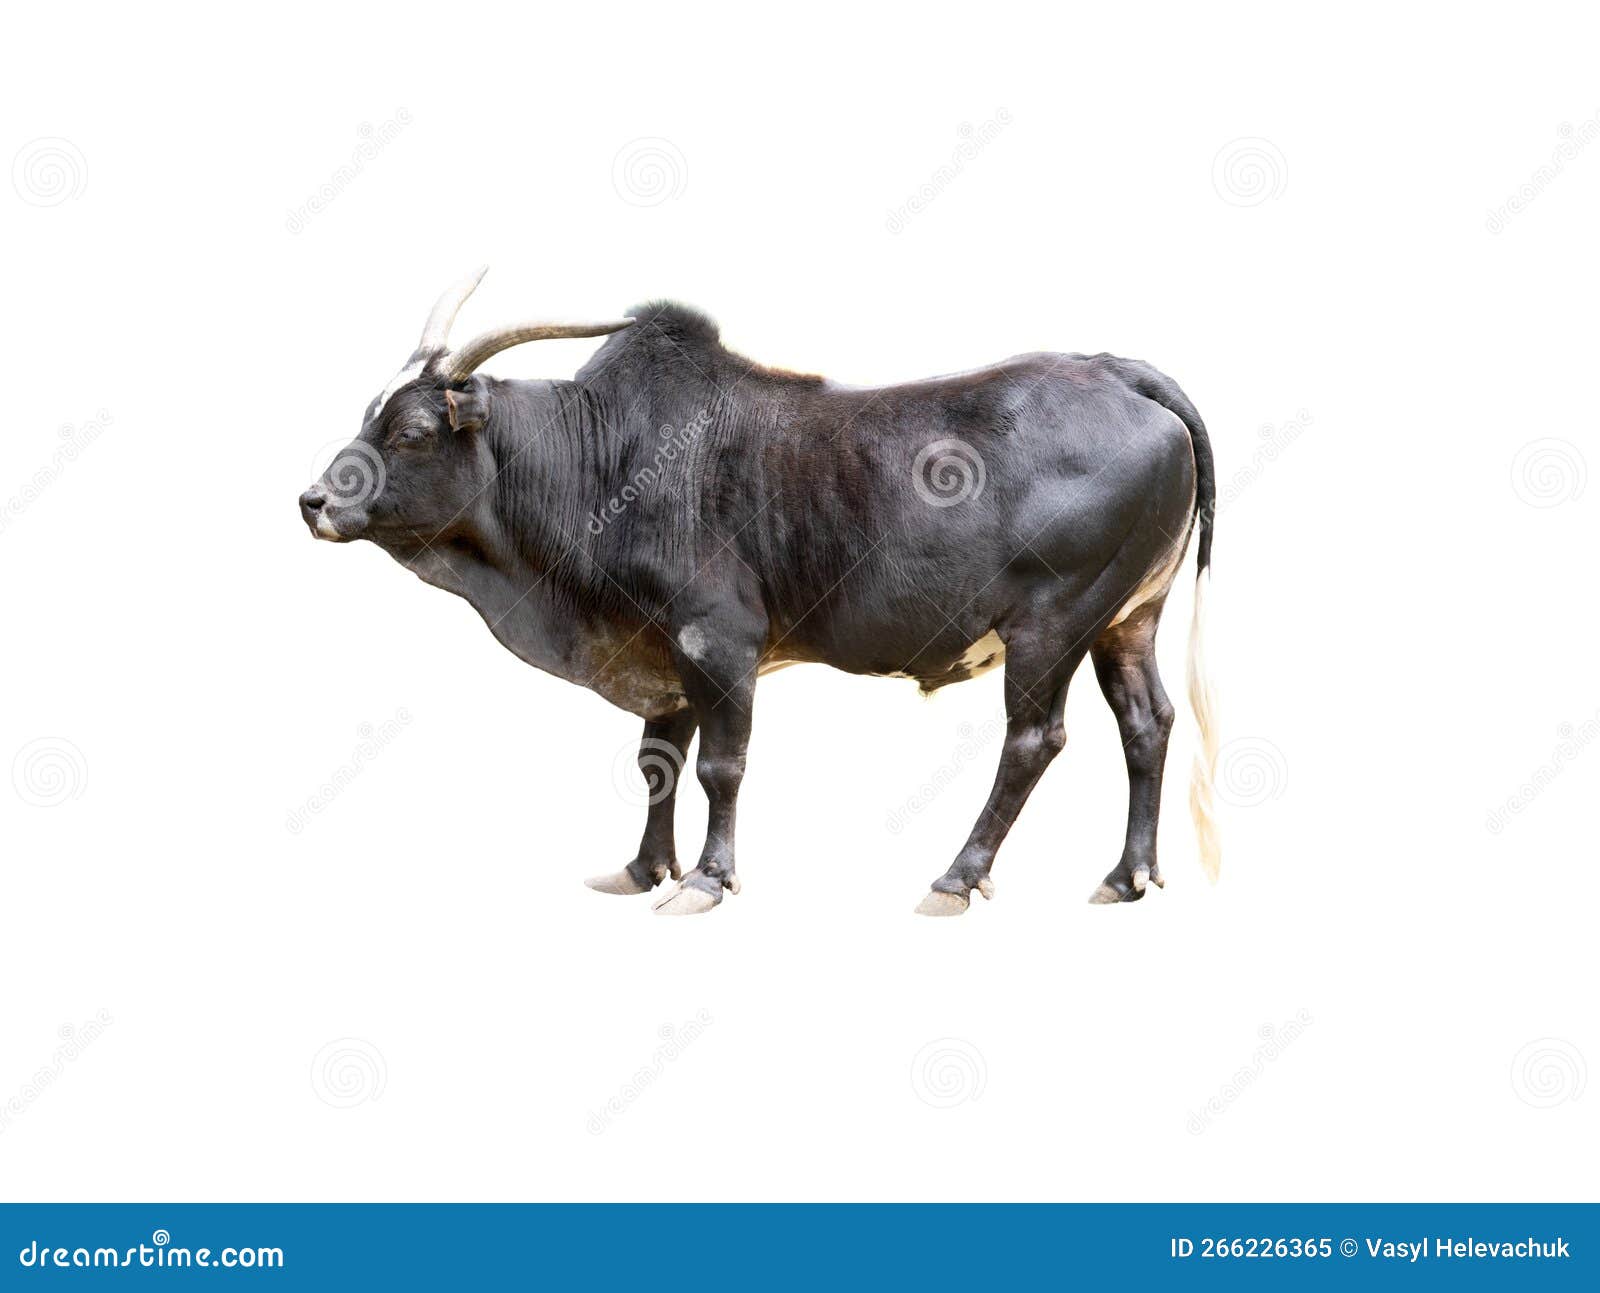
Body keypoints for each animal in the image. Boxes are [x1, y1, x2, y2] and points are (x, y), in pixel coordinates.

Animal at [299, 268, 1219, 916]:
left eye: (413, 431)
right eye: (372, 412)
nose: (312, 501)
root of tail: (1122, 372)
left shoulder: (719, 638)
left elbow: (721, 765)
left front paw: (707, 879)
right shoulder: (661, 651)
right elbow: (657, 762)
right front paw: (643, 868)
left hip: (1052, 623)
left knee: (1034, 741)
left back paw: (958, 876)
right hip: (1127, 618)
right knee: (1146, 722)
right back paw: (1129, 874)